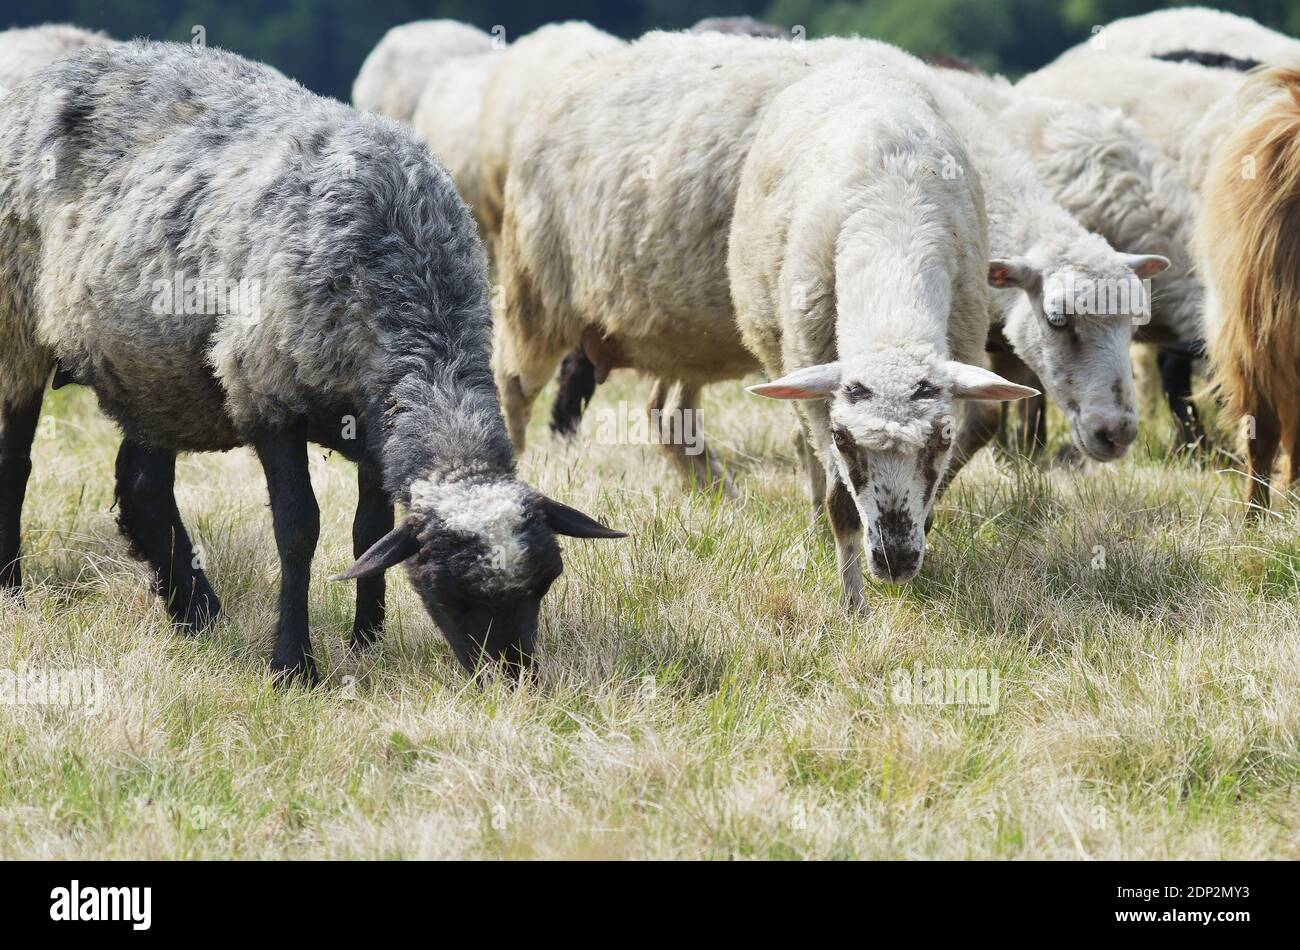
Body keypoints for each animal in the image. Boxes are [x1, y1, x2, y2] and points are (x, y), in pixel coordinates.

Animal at [0, 41, 623, 684]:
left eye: (545, 584)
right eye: (449, 594)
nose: (513, 682)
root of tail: (66, 65)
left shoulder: (375, 422)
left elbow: (369, 530)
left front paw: (366, 640)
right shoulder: (265, 393)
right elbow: (299, 529)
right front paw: (293, 663)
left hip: (155, 373)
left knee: (144, 486)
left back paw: (197, 615)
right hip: (17, 327)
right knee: (17, 462)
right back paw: (14, 587)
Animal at [731, 59, 1036, 606]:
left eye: (942, 438)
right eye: (843, 438)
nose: (895, 561)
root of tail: (857, 54)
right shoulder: (818, 390)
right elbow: (841, 503)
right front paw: (854, 607)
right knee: (803, 448)